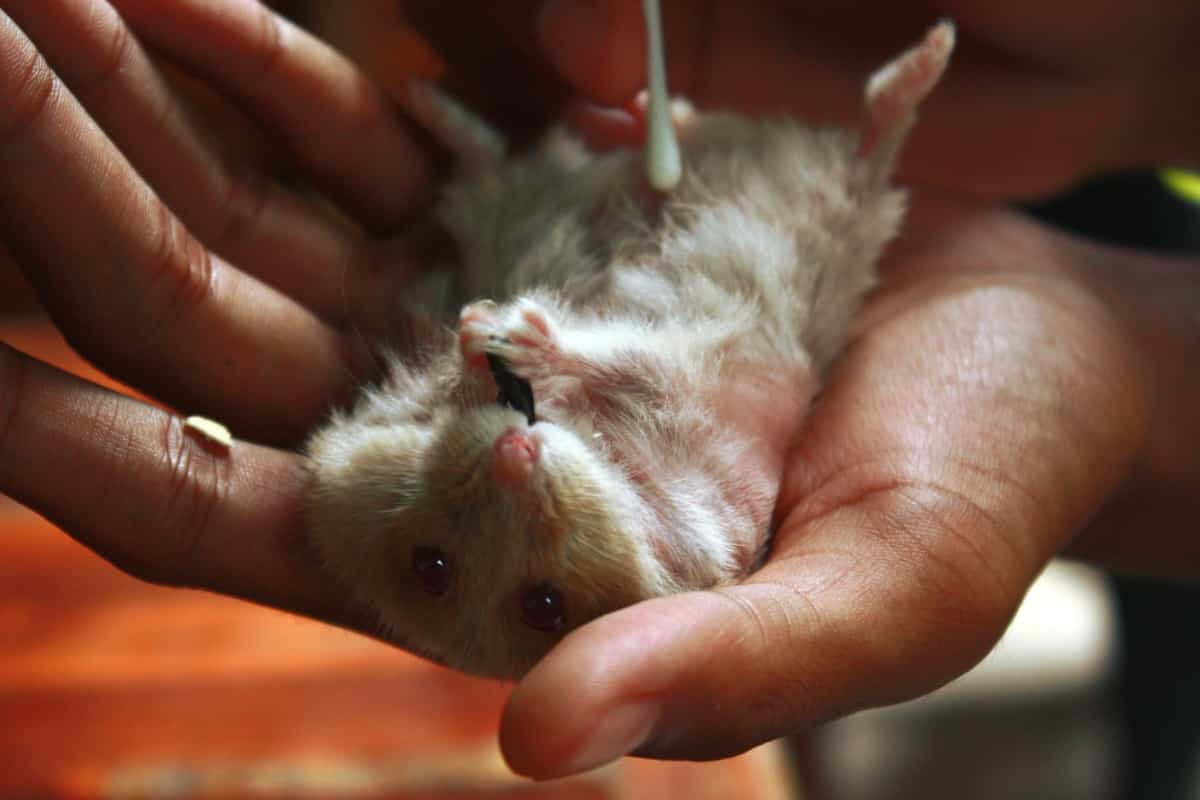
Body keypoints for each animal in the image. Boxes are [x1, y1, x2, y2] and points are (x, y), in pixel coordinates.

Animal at [306, 23, 955, 679]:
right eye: (431, 565)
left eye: (543, 605)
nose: (514, 450)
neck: (598, 446)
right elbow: (623, 362)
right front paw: (494, 338)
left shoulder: (690, 419)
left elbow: (617, 359)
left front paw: (488, 330)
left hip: (828, 205)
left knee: (870, 144)